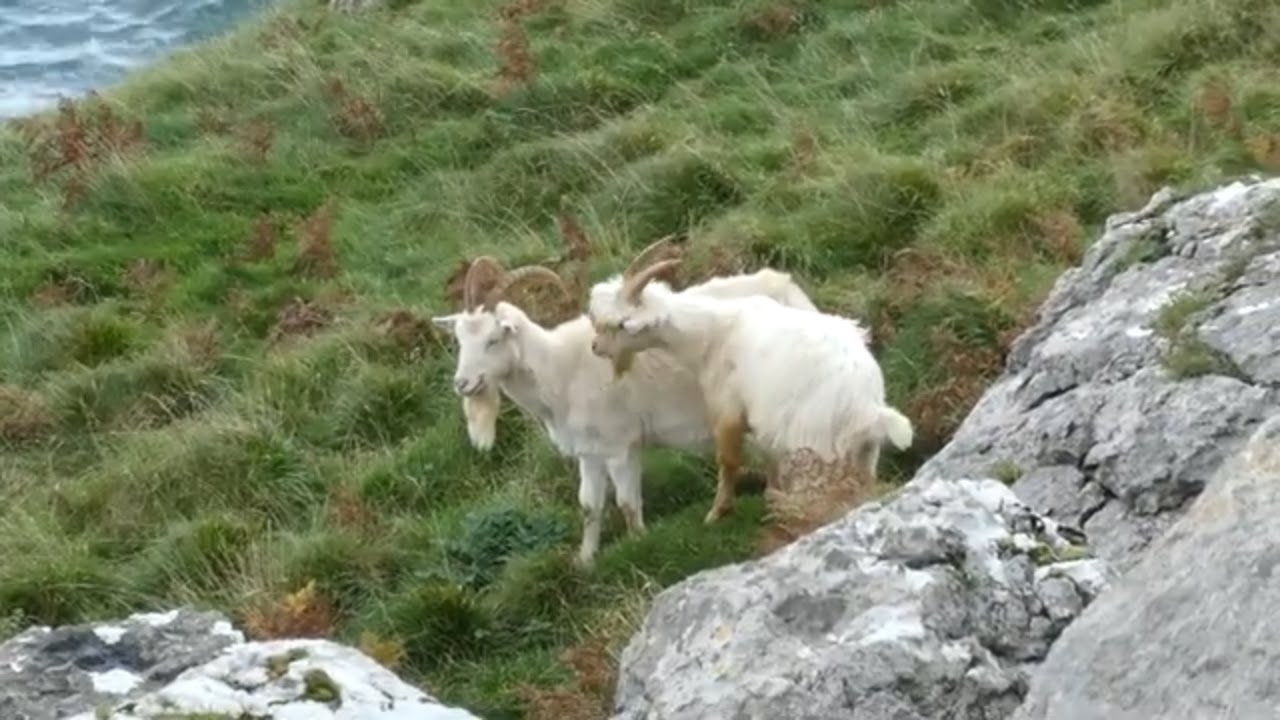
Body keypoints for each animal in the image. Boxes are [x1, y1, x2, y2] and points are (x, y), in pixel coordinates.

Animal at [431, 254, 820, 565]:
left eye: (494, 339)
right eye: (460, 339)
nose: (462, 384)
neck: (560, 370)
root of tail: (784, 285)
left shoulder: (619, 446)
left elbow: (628, 503)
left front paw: (639, 543)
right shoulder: (589, 452)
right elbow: (589, 506)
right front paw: (585, 561)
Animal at [586, 237, 913, 525]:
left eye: (619, 325)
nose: (595, 347)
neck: (714, 330)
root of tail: (866, 406)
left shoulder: (727, 409)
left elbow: (728, 461)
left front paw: (717, 513)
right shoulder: (764, 423)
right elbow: (767, 459)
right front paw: (770, 495)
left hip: (816, 445)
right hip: (864, 453)